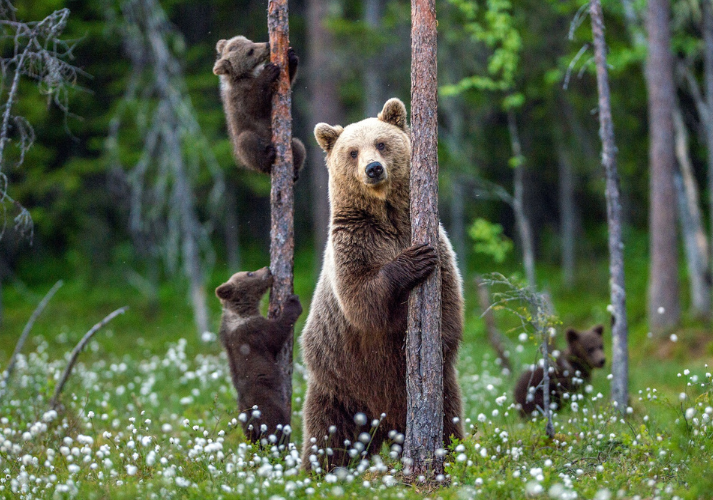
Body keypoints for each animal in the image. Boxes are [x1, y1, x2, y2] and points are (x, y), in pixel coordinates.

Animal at [213, 35, 306, 180]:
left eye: (250, 41)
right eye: (250, 51)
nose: (267, 44)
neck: (245, 75)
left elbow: (287, 82)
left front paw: (291, 56)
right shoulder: (238, 96)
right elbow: (253, 106)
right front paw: (269, 71)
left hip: (291, 143)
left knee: (298, 145)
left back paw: (295, 171)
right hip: (245, 146)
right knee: (247, 142)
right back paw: (268, 156)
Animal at [215, 267, 302, 443]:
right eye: (249, 273)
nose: (267, 269)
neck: (242, 311)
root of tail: (251, 416)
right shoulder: (254, 332)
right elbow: (277, 333)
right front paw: (293, 302)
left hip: (244, 420)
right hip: (267, 404)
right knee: (276, 427)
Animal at [300, 98, 465, 472]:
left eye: (381, 143)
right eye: (352, 151)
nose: (373, 168)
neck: (386, 215)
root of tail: (384, 423)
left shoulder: (435, 240)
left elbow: (448, 303)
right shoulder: (353, 243)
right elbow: (362, 299)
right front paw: (413, 261)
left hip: (439, 391)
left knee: (449, 420)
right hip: (339, 384)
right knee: (327, 436)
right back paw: (317, 472)